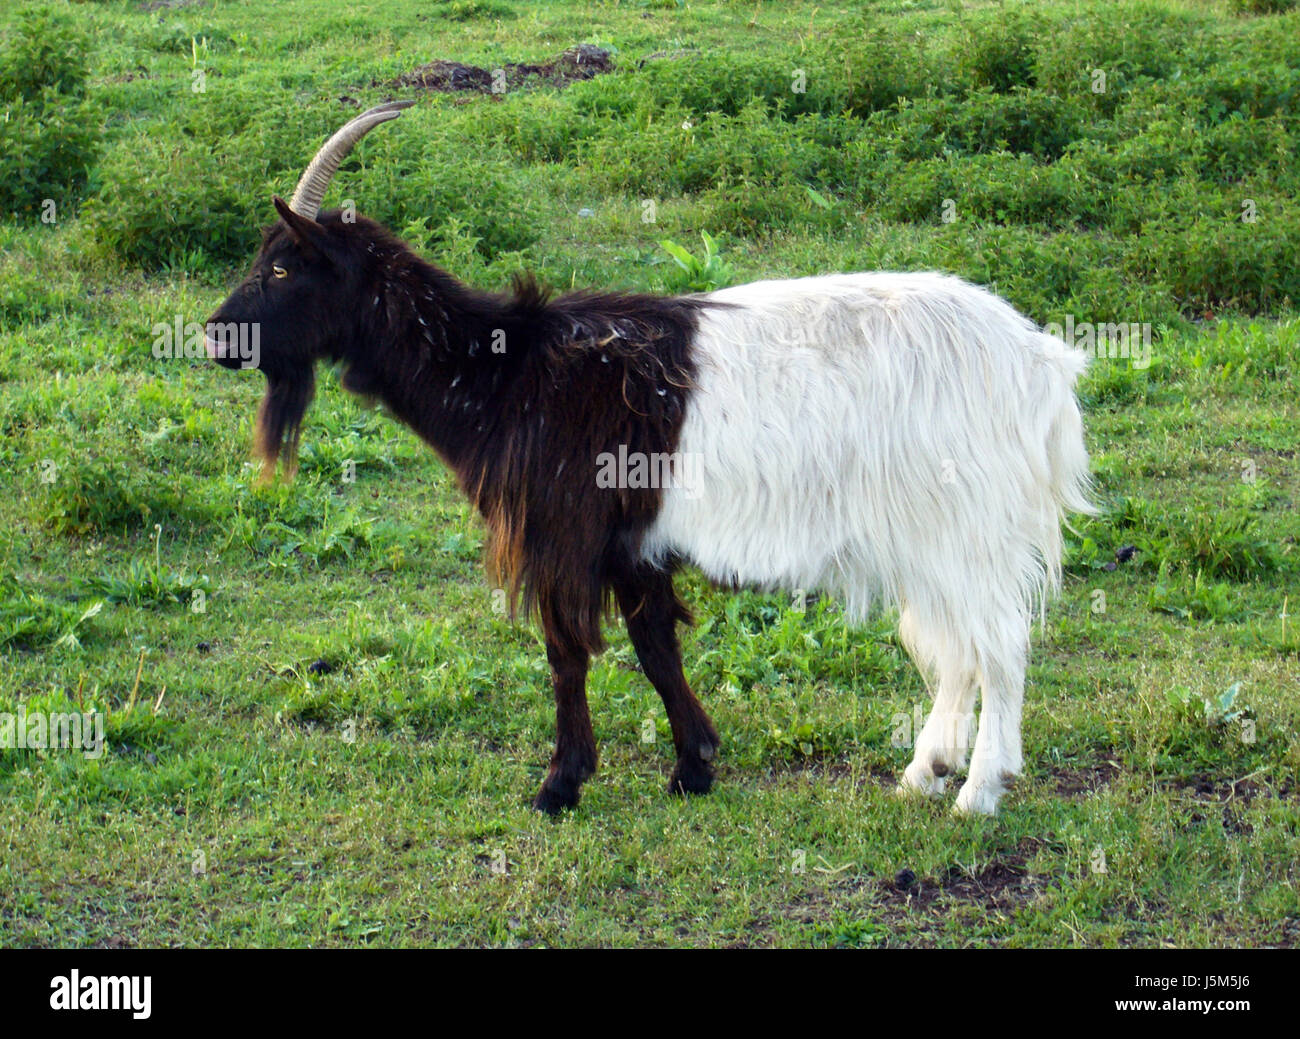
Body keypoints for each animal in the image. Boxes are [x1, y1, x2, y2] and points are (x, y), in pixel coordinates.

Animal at [205, 102, 1094, 816]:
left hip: (961, 521)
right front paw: (694, 765)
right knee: (959, 645)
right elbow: (656, 646)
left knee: (997, 643)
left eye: (282, 264)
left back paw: (978, 791)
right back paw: (926, 769)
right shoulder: (634, 541)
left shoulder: (565, 534)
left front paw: (560, 784)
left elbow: (567, 653)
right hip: (929, 533)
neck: (510, 372)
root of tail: (1039, 362)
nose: (216, 336)